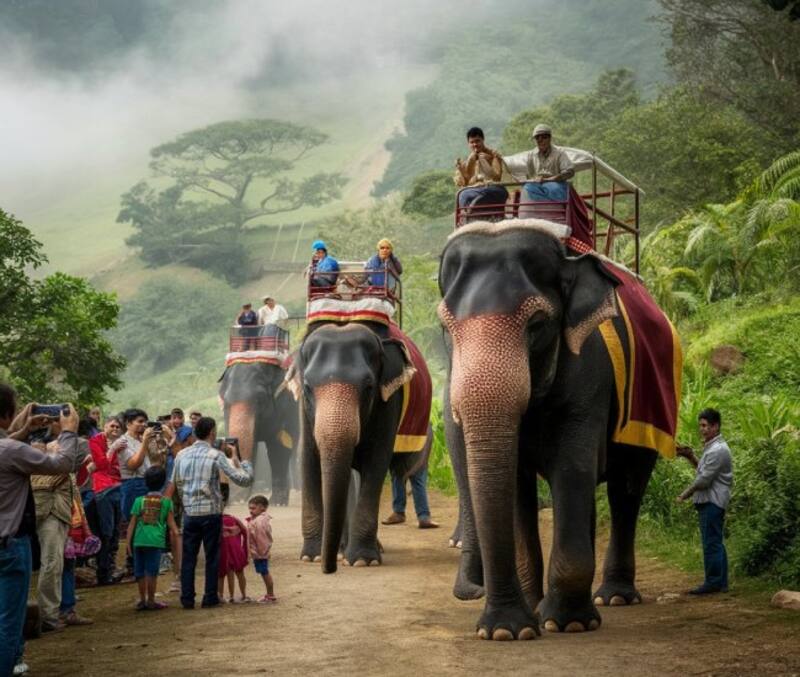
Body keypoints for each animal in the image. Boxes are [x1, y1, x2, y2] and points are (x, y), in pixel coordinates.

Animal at [219, 361, 298, 505]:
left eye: (260, 399)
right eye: (226, 402)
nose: (237, 501)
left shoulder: (285, 404)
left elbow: (278, 447)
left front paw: (276, 503)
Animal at [285, 321, 420, 572]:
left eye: (369, 387)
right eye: (306, 387)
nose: (329, 569)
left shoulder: (389, 400)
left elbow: (376, 463)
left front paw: (362, 560)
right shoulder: (304, 413)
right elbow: (307, 460)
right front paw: (312, 557)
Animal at [438, 220, 679, 640]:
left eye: (536, 325)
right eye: (445, 330)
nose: (477, 595)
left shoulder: (591, 377)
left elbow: (572, 467)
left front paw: (566, 622)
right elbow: (517, 483)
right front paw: (513, 628)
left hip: (651, 406)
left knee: (626, 488)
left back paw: (614, 598)